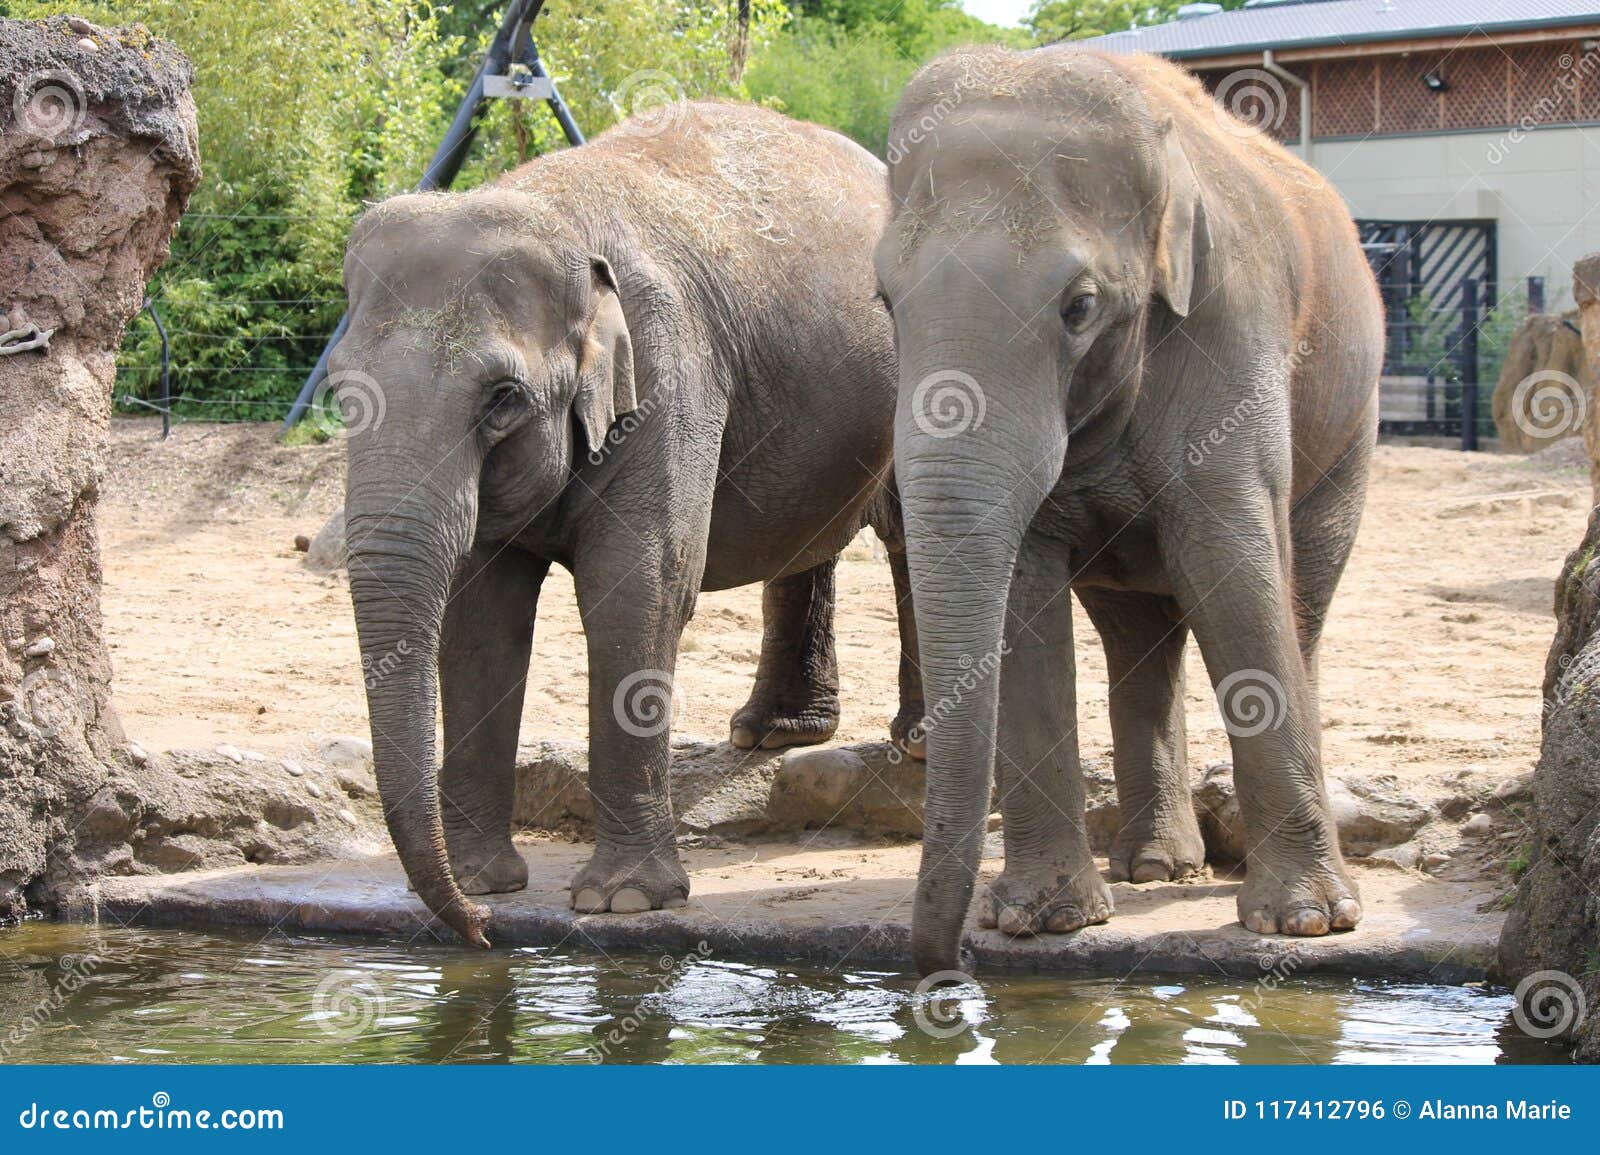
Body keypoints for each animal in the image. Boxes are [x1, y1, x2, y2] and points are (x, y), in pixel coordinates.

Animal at [328, 101, 923, 947]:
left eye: (503, 399)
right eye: (340, 391)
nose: (481, 932)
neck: (555, 215)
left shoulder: (667, 368)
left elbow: (638, 587)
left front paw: (624, 901)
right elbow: (480, 613)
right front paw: (483, 882)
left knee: (912, 530)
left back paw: (916, 742)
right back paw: (770, 734)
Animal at [872, 48, 1384, 974]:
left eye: (1080, 306)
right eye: (885, 301)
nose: (943, 963)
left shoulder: (1231, 324)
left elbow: (1233, 568)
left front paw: (1304, 923)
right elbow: (1026, 597)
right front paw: (1042, 918)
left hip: (1349, 433)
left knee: (1300, 602)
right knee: (1138, 636)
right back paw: (1156, 866)